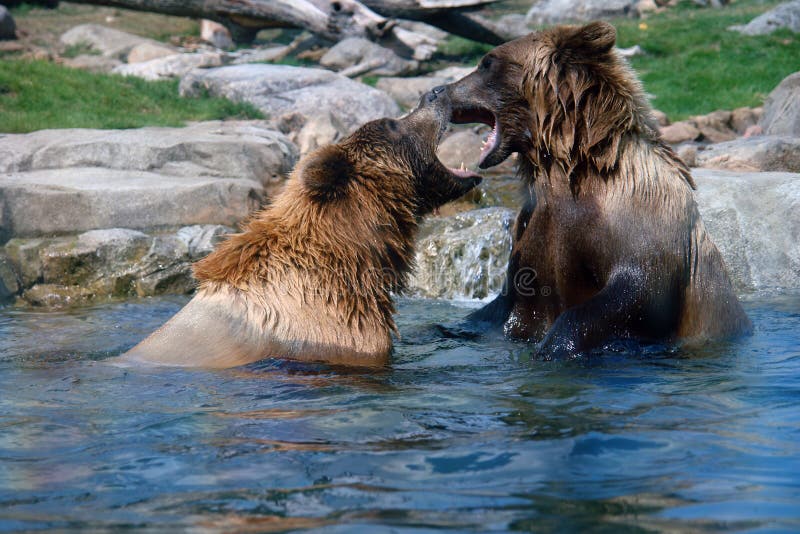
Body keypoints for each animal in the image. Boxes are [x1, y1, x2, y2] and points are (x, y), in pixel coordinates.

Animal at [438, 21, 751, 358]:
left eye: (487, 62)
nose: (438, 90)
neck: (565, 171)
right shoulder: (534, 233)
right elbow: (504, 303)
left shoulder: (640, 222)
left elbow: (633, 292)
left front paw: (555, 346)